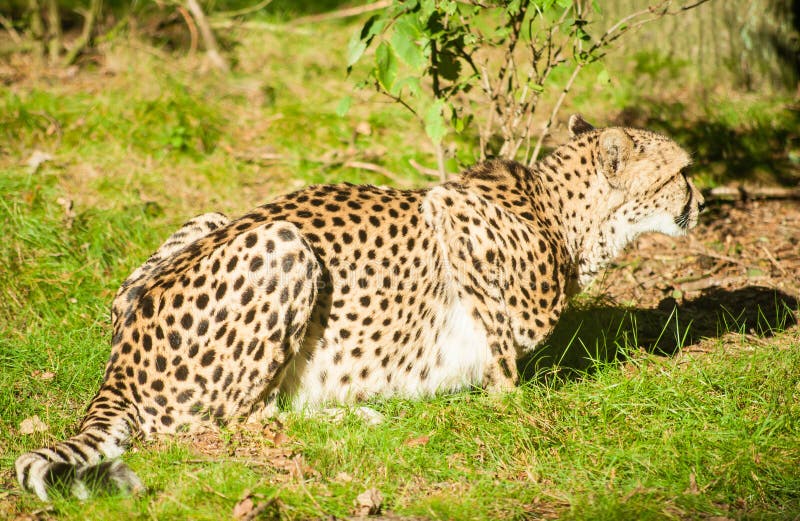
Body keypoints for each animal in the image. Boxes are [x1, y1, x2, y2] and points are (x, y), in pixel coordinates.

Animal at [16, 115, 704, 500]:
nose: (704, 199)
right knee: (237, 420)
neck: (562, 213)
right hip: (282, 243)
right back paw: (355, 414)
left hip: (209, 222)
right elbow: (507, 368)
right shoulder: (452, 219)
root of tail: (119, 365)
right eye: (683, 172)